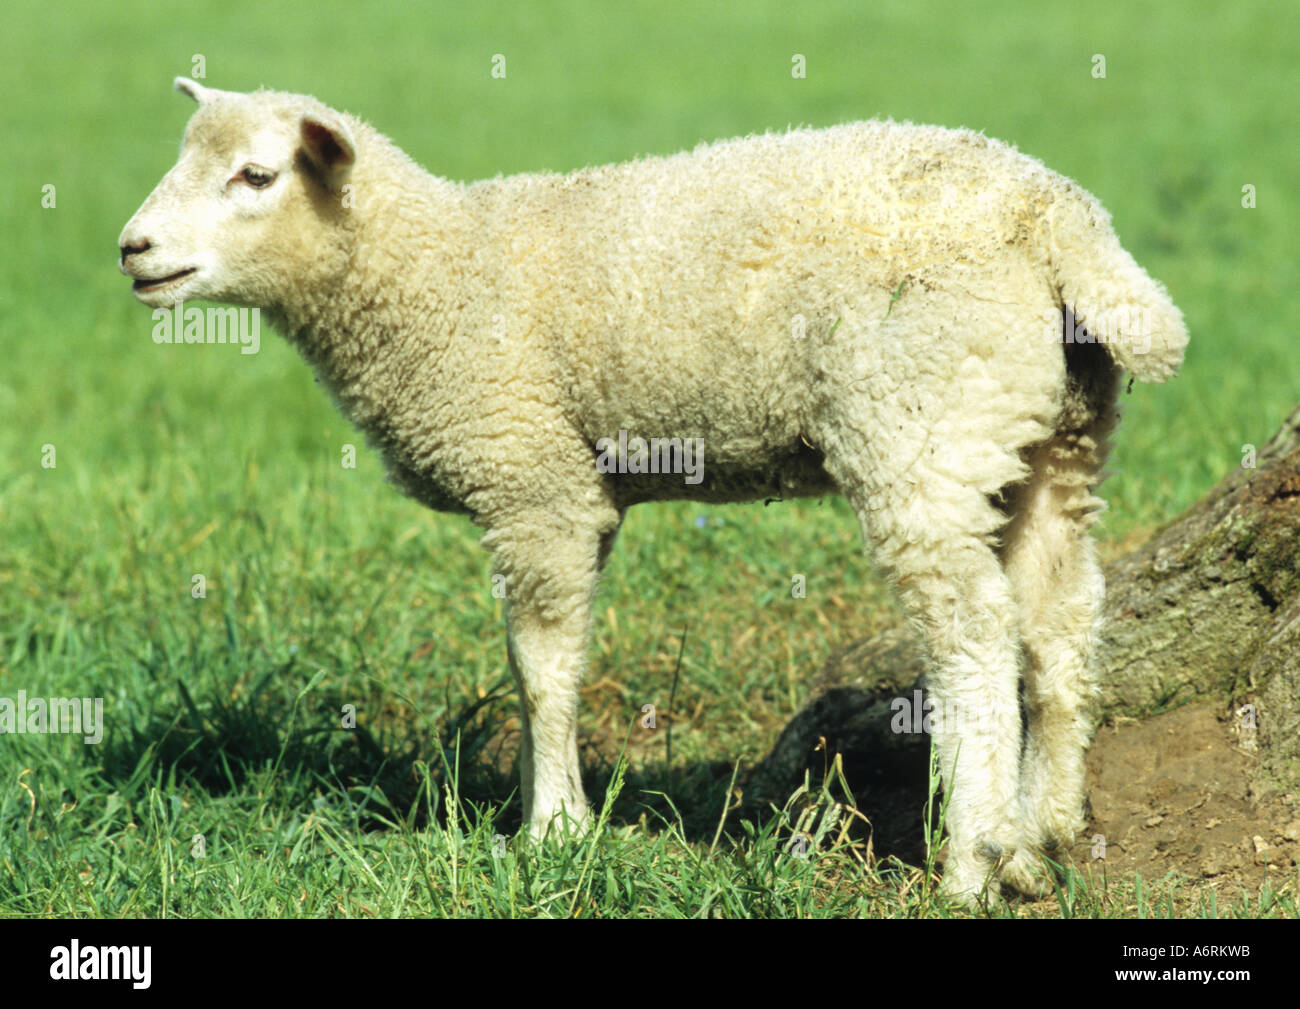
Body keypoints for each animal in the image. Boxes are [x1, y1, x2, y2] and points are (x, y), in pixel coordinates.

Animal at [118, 78, 1187, 903]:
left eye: (256, 175)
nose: (132, 248)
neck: (437, 274)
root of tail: (1057, 219)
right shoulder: (578, 492)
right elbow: (546, 662)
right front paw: (552, 810)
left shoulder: (534, 484)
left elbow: (541, 670)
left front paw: (552, 828)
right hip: (1051, 429)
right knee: (1060, 619)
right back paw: (1043, 838)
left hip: (918, 426)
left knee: (973, 632)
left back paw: (973, 860)